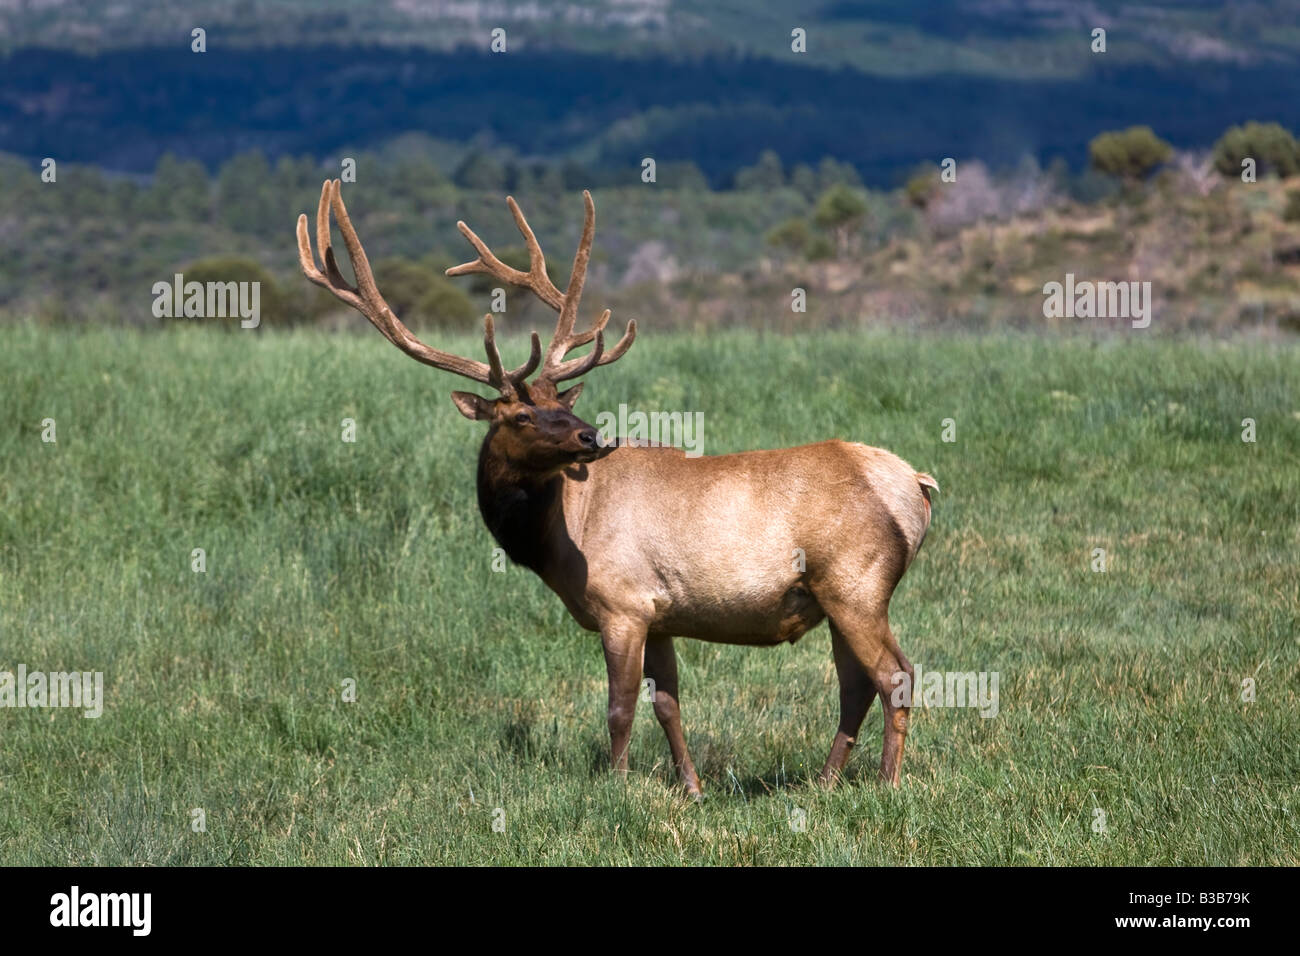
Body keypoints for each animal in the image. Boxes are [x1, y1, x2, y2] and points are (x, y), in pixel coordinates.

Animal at [297, 180, 938, 796]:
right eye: (522, 416)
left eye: (560, 403)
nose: (592, 435)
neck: (557, 538)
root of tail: (917, 484)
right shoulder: (661, 613)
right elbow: (669, 705)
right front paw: (692, 788)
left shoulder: (622, 602)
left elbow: (620, 708)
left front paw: (618, 787)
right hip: (837, 597)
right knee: (856, 685)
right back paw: (825, 783)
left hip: (855, 582)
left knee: (896, 674)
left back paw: (887, 784)